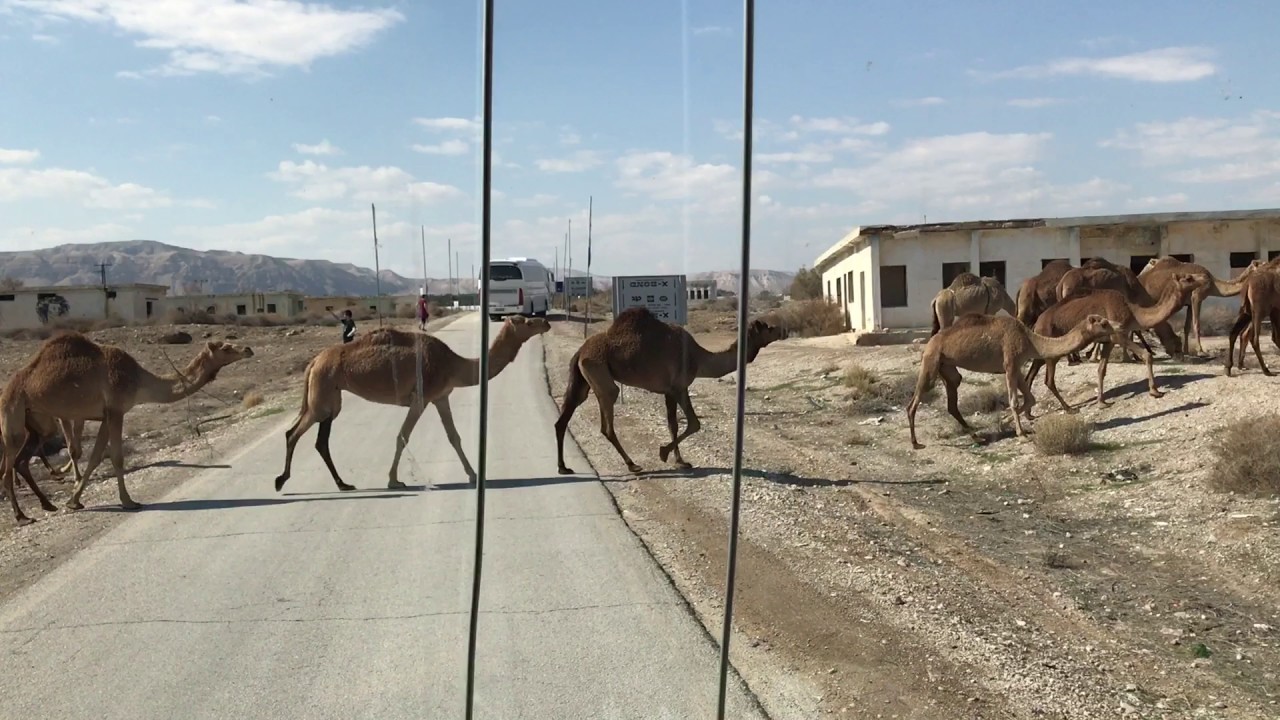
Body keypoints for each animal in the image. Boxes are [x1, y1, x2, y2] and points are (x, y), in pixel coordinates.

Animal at [0, 334, 255, 525]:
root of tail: (8, 387)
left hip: (38, 421)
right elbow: (116, 457)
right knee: (7, 466)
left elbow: (95, 457)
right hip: (13, 413)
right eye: (225, 347)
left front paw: (74, 501)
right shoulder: (116, 409)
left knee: (23, 459)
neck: (139, 380)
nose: (248, 349)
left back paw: (48, 505)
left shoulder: (107, 414)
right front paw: (128, 501)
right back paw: (22, 517)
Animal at [274, 314, 551, 492]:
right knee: (294, 433)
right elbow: (402, 436)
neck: (453, 364)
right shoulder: (421, 398)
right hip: (323, 391)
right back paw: (281, 481)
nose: (546, 323)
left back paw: (342, 484)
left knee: (318, 439)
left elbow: (454, 436)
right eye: (527, 321)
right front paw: (393, 481)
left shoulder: (440, 397)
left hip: (329, 395)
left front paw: (473, 474)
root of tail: (314, 362)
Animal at [554, 306, 786, 475]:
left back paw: (563, 467)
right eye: (767, 327)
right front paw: (664, 453)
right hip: (600, 373)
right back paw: (633, 465)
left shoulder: (669, 390)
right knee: (607, 422)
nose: (783, 330)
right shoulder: (679, 387)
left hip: (582, 380)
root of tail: (580, 351)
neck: (698, 358)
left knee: (564, 418)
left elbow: (673, 424)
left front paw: (680, 460)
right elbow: (693, 423)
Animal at [906, 313, 1116, 450]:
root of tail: (929, 342)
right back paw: (916, 443)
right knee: (914, 402)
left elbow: (1030, 398)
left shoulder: (1017, 366)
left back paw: (977, 437)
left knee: (952, 402)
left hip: (948, 369)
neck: (1031, 341)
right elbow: (1015, 401)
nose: (1117, 327)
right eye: (1104, 323)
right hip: (931, 362)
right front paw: (1021, 434)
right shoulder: (1010, 363)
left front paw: (1004, 422)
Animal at [1024, 272, 1199, 413]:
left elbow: (1101, 370)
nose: (1202, 279)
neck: (1133, 313)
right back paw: (1068, 409)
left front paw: (1102, 402)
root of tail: (1037, 324)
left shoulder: (1108, 342)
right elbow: (1146, 355)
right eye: (1188, 278)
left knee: (1030, 375)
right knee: (1048, 380)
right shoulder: (1118, 334)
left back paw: (1029, 414)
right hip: (1051, 348)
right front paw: (1155, 391)